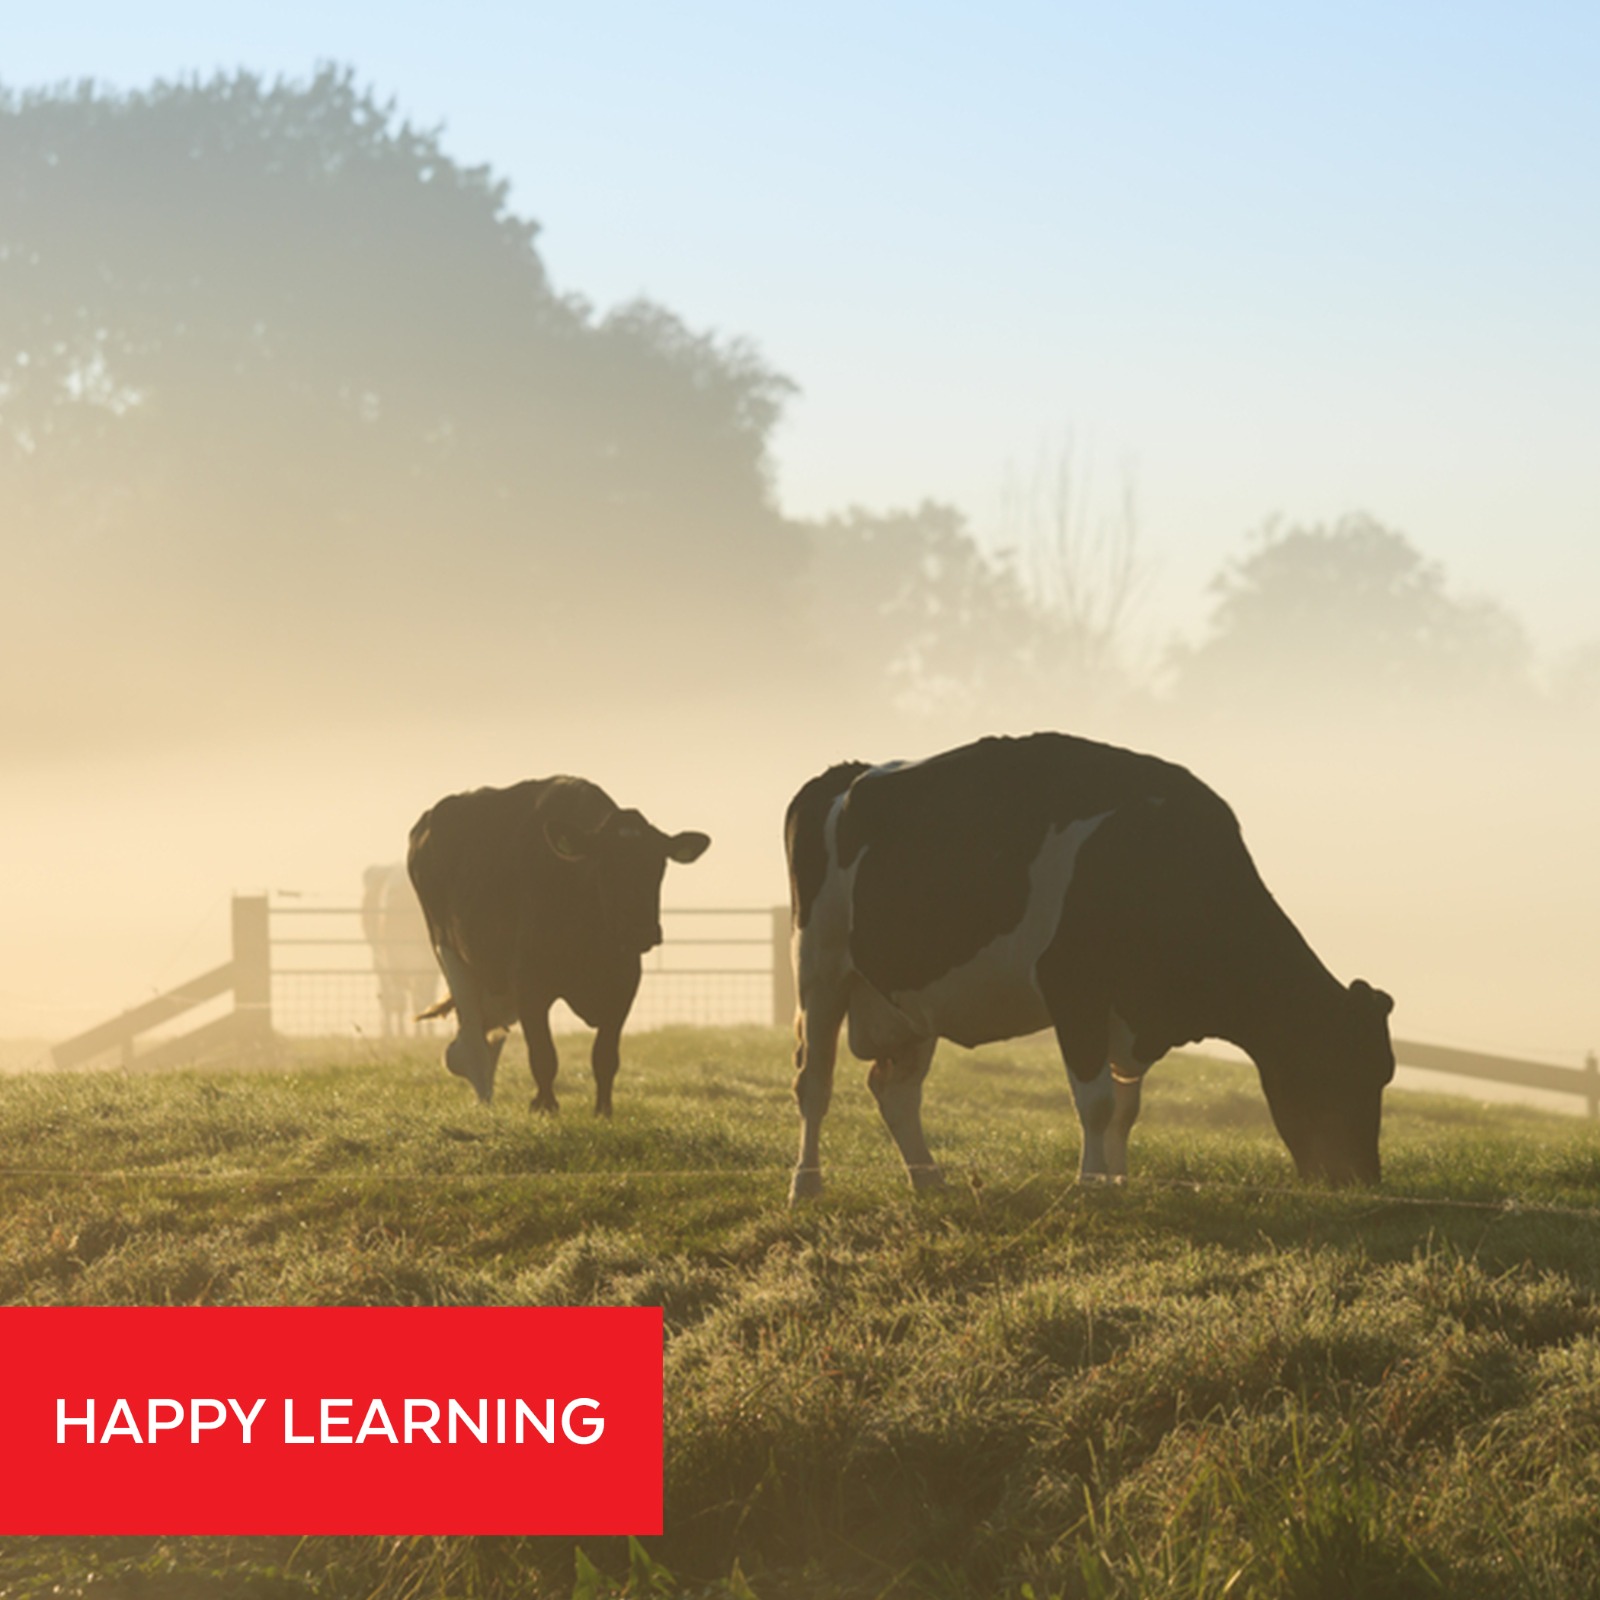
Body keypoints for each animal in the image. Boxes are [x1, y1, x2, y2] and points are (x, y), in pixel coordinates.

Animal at [407, 776, 710, 1113]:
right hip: (449, 951)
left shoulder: (624, 984)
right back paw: (484, 1098)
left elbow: (605, 1056)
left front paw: (603, 1111)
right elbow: (543, 1054)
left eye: (658, 865)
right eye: (606, 865)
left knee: (490, 1033)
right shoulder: (529, 982)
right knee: (472, 1038)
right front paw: (545, 1107)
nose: (640, 931)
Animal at [784, 732, 1394, 1201]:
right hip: (820, 966)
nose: (1363, 1181)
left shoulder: (1127, 1013)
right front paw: (1091, 1184)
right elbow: (1097, 1103)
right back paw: (806, 1186)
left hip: (911, 1000)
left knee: (895, 1091)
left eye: (1383, 1073)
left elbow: (1127, 1107)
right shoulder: (1073, 989)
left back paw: (930, 1182)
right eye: (1336, 1068)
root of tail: (844, 774)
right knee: (814, 1081)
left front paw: (1117, 1181)